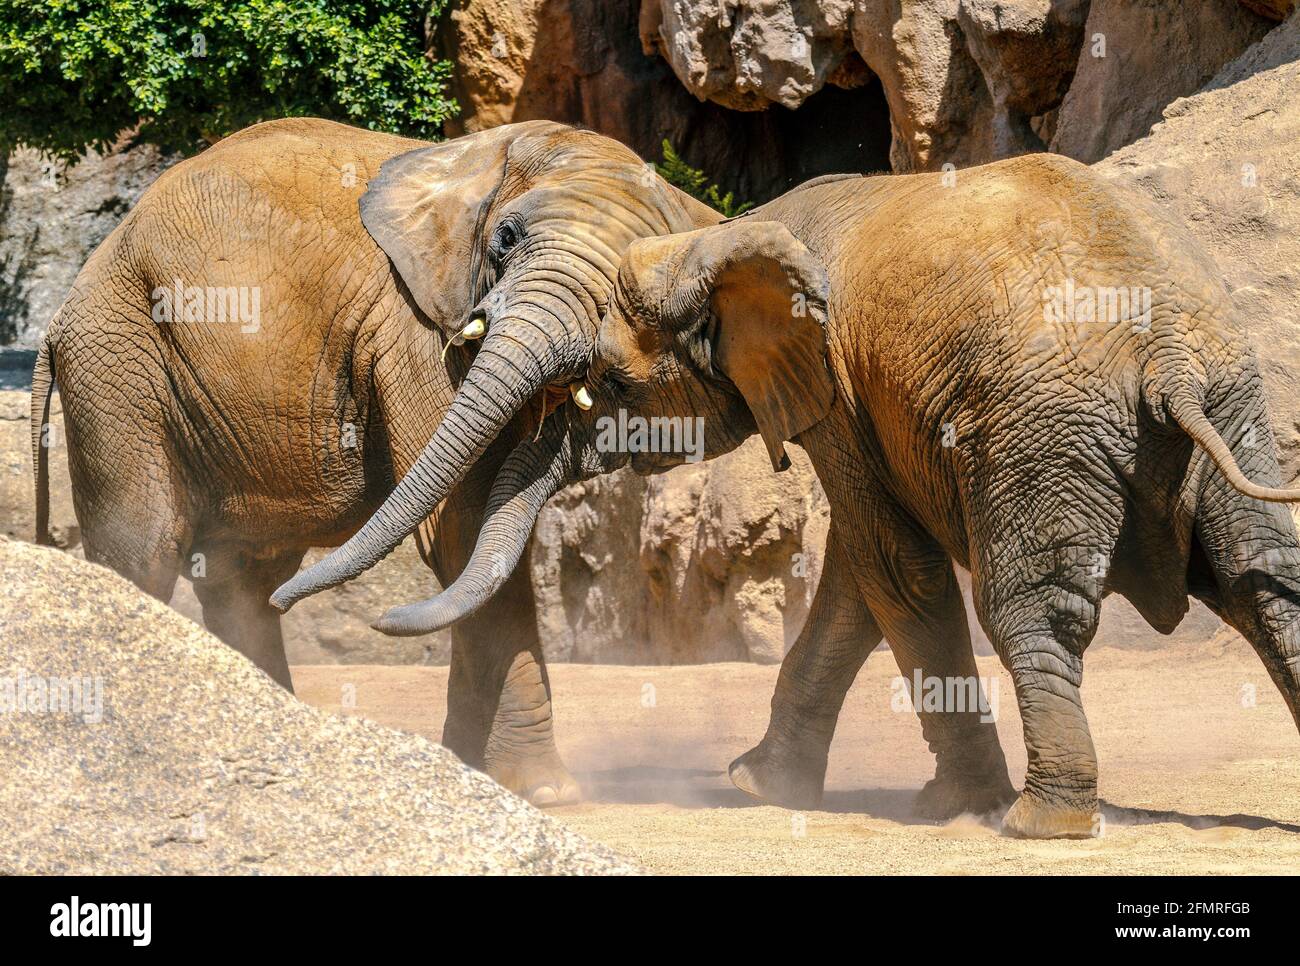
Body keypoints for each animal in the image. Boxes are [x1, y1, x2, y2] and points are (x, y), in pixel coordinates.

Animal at [31, 116, 717, 805]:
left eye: (626, 287)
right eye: (506, 238)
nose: (376, 620)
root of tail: (66, 304)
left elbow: (483, 530)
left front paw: (484, 772)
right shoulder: (412, 326)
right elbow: (463, 525)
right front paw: (544, 794)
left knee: (241, 573)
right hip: (118, 356)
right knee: (144, 549)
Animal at [298, 153, 1300, 837]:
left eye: (611, 385)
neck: (719, 237)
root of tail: (1168, 357)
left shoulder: (838, 384)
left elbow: (895, 566)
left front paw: (953, 805)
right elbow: (862, 575)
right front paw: (760, 785)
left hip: (1047, 433)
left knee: (1034, 610)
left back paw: (1038, 823)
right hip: (1231, 400)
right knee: (1266, 580)